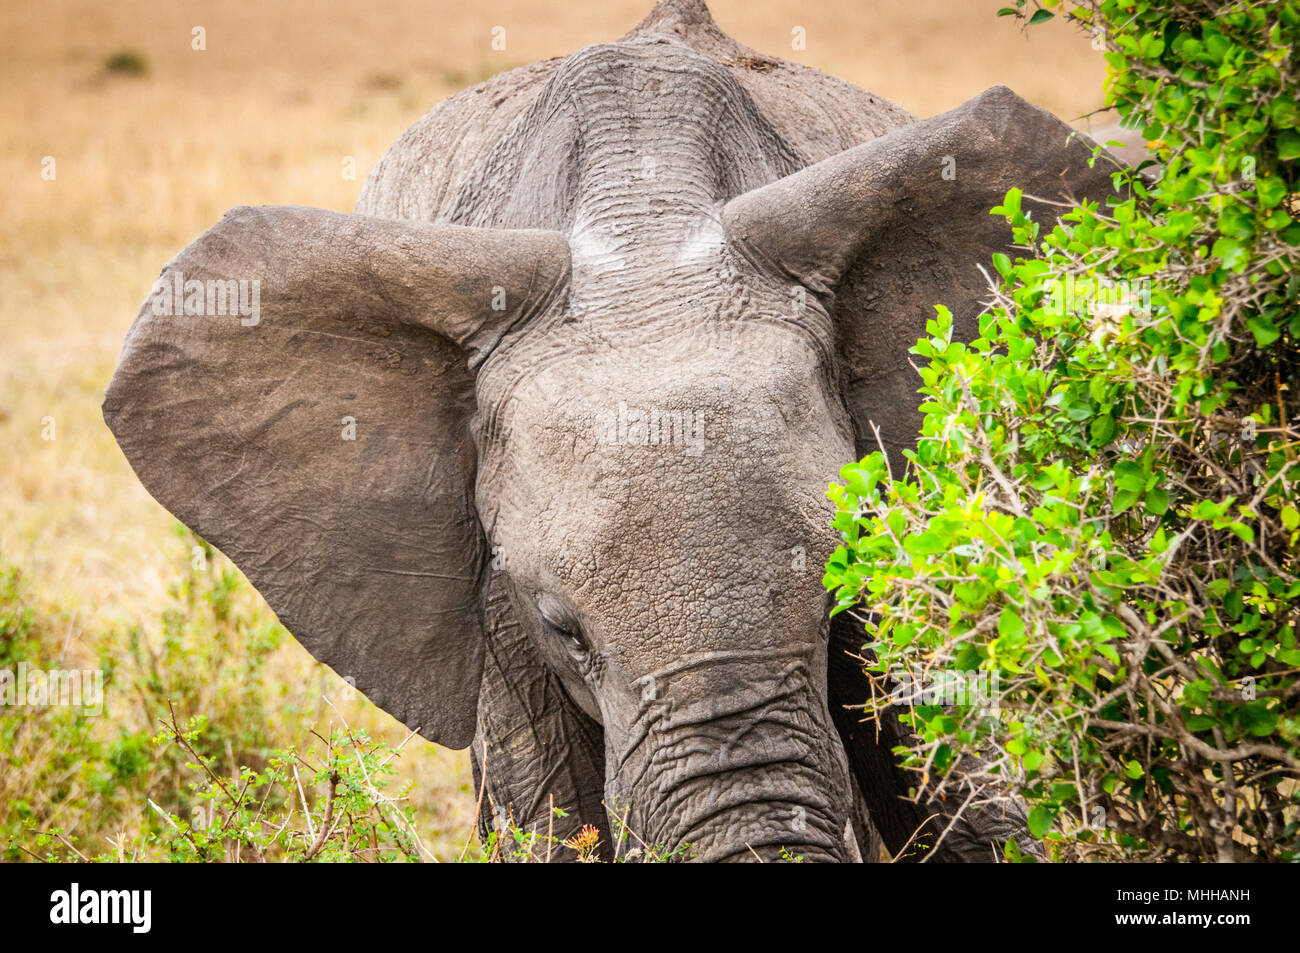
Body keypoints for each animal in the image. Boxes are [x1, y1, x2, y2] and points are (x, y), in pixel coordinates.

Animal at [103, 0, 1115, 862]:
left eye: (839, 594)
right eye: (563, 624)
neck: (646, 228)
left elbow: (942, 770)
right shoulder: (489, 583)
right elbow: (545, 811)